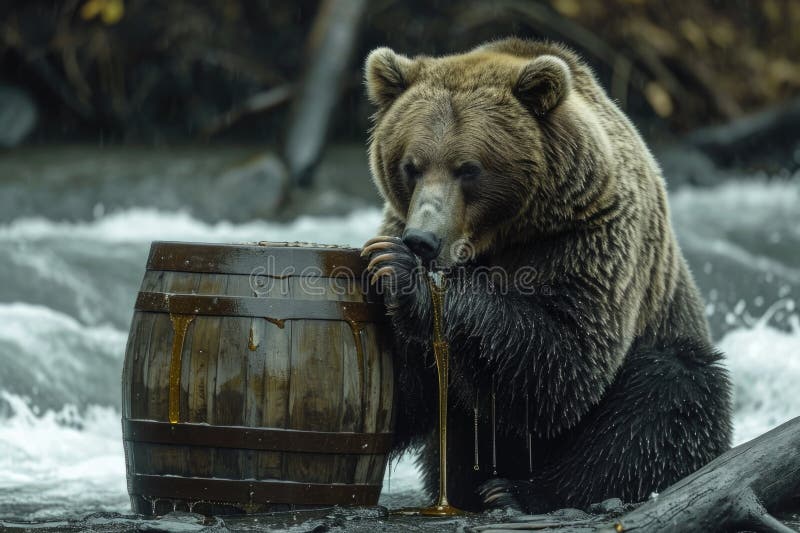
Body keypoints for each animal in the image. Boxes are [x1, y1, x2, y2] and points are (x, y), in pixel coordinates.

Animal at [360, 38, 732, 512]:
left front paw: (403, 274)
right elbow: (403, 382)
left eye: (469, 168)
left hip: (668, 336)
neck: (503, 234)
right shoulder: (398, 219)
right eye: (411, 165)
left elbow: (565, 361)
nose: (422, 240)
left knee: (668, 399)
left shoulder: (587, 237)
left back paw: (516, 490)